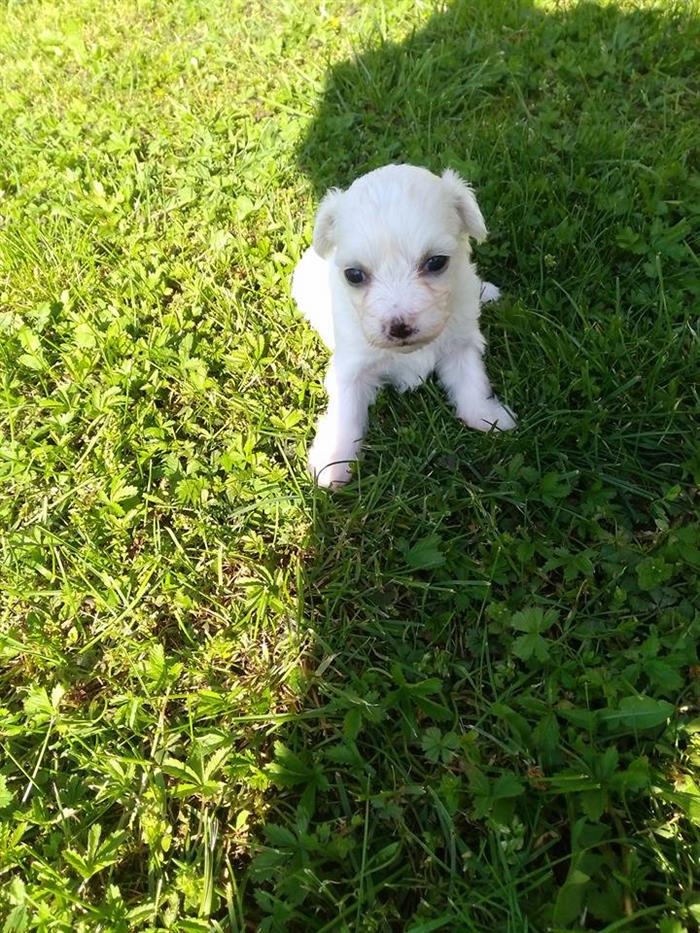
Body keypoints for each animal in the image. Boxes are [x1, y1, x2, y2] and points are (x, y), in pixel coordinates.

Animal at [290, 166, 516, 488]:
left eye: (436, 263)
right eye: (354, 275)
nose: (399, 328)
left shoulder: (461, 343)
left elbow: (472, 381)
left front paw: (487, 417)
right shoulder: (351, 366)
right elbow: (346, 413)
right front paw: (333, 462)